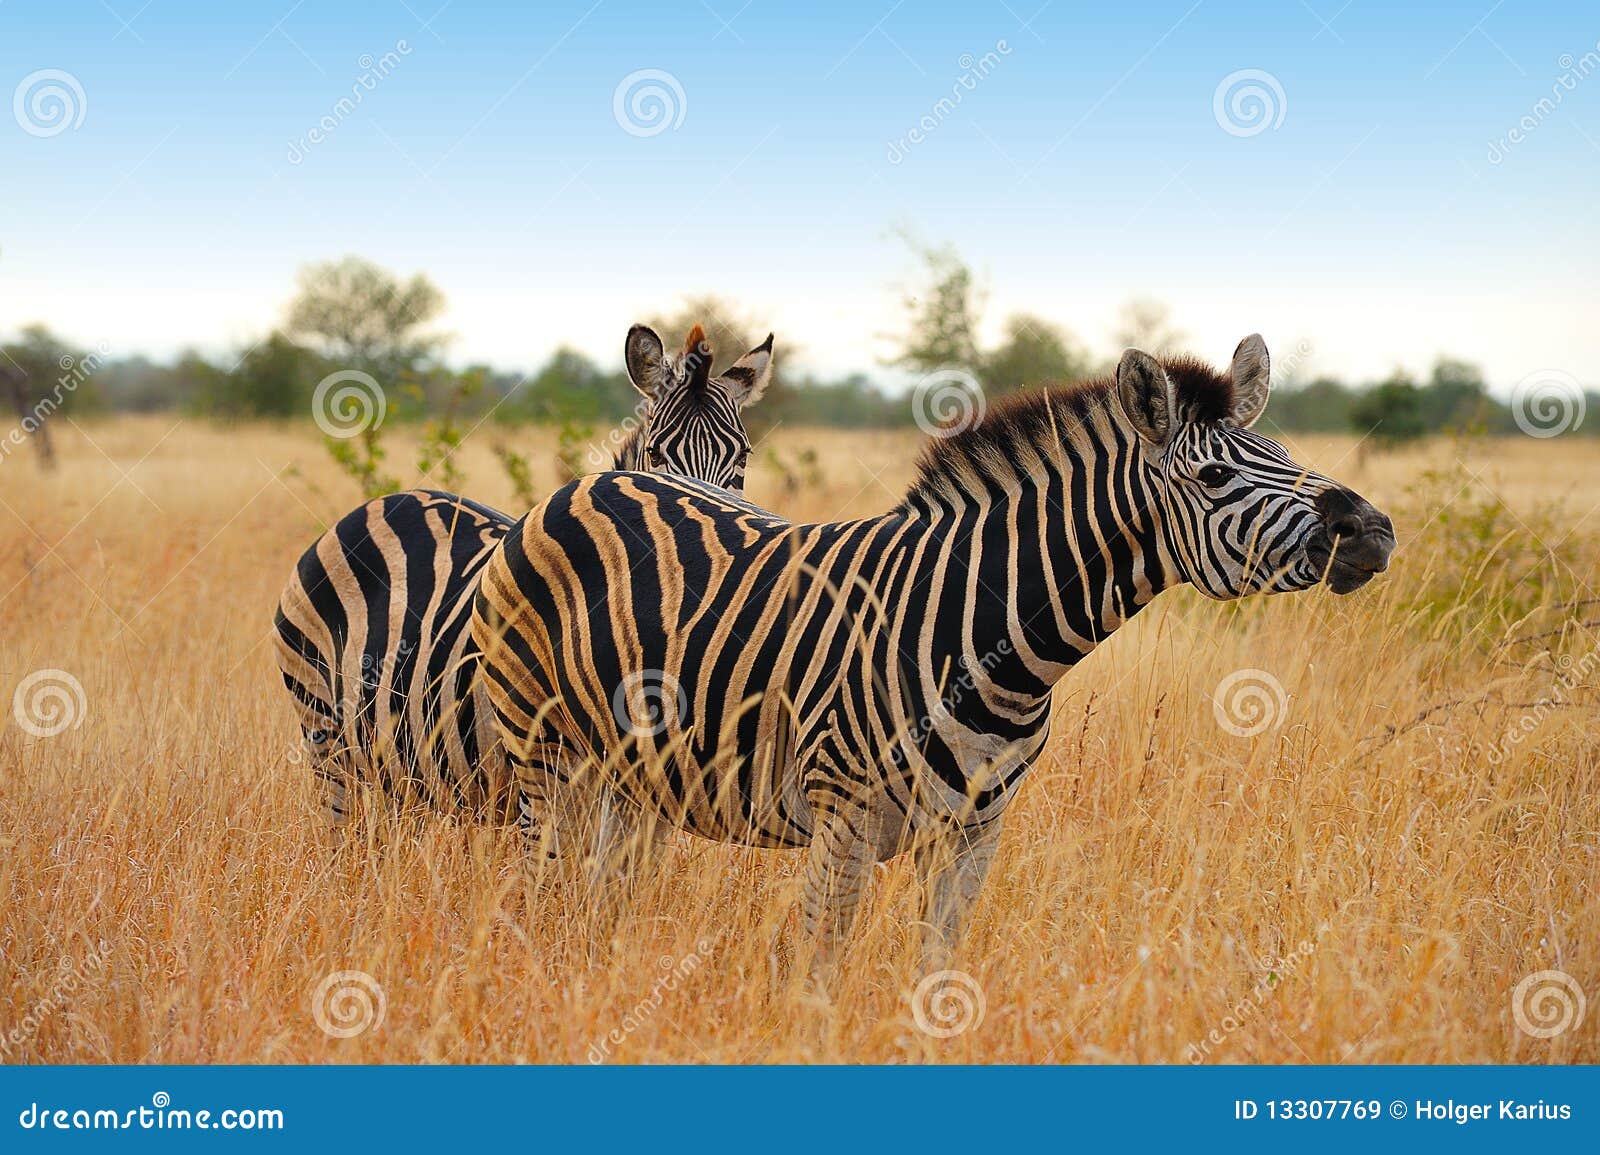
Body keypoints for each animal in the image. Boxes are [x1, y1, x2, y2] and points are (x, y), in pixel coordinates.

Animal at [469, 335, 1396, 972]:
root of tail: (590, 480)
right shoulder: (842, 822)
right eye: (1212, 479)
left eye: (1286, 456)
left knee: (600, 895)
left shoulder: (974, 833)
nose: (1372, 529)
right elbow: (818, 973)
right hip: (541, 752)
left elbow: (937, 967)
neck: (997, 650)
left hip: (628, 774)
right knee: (540, 886)